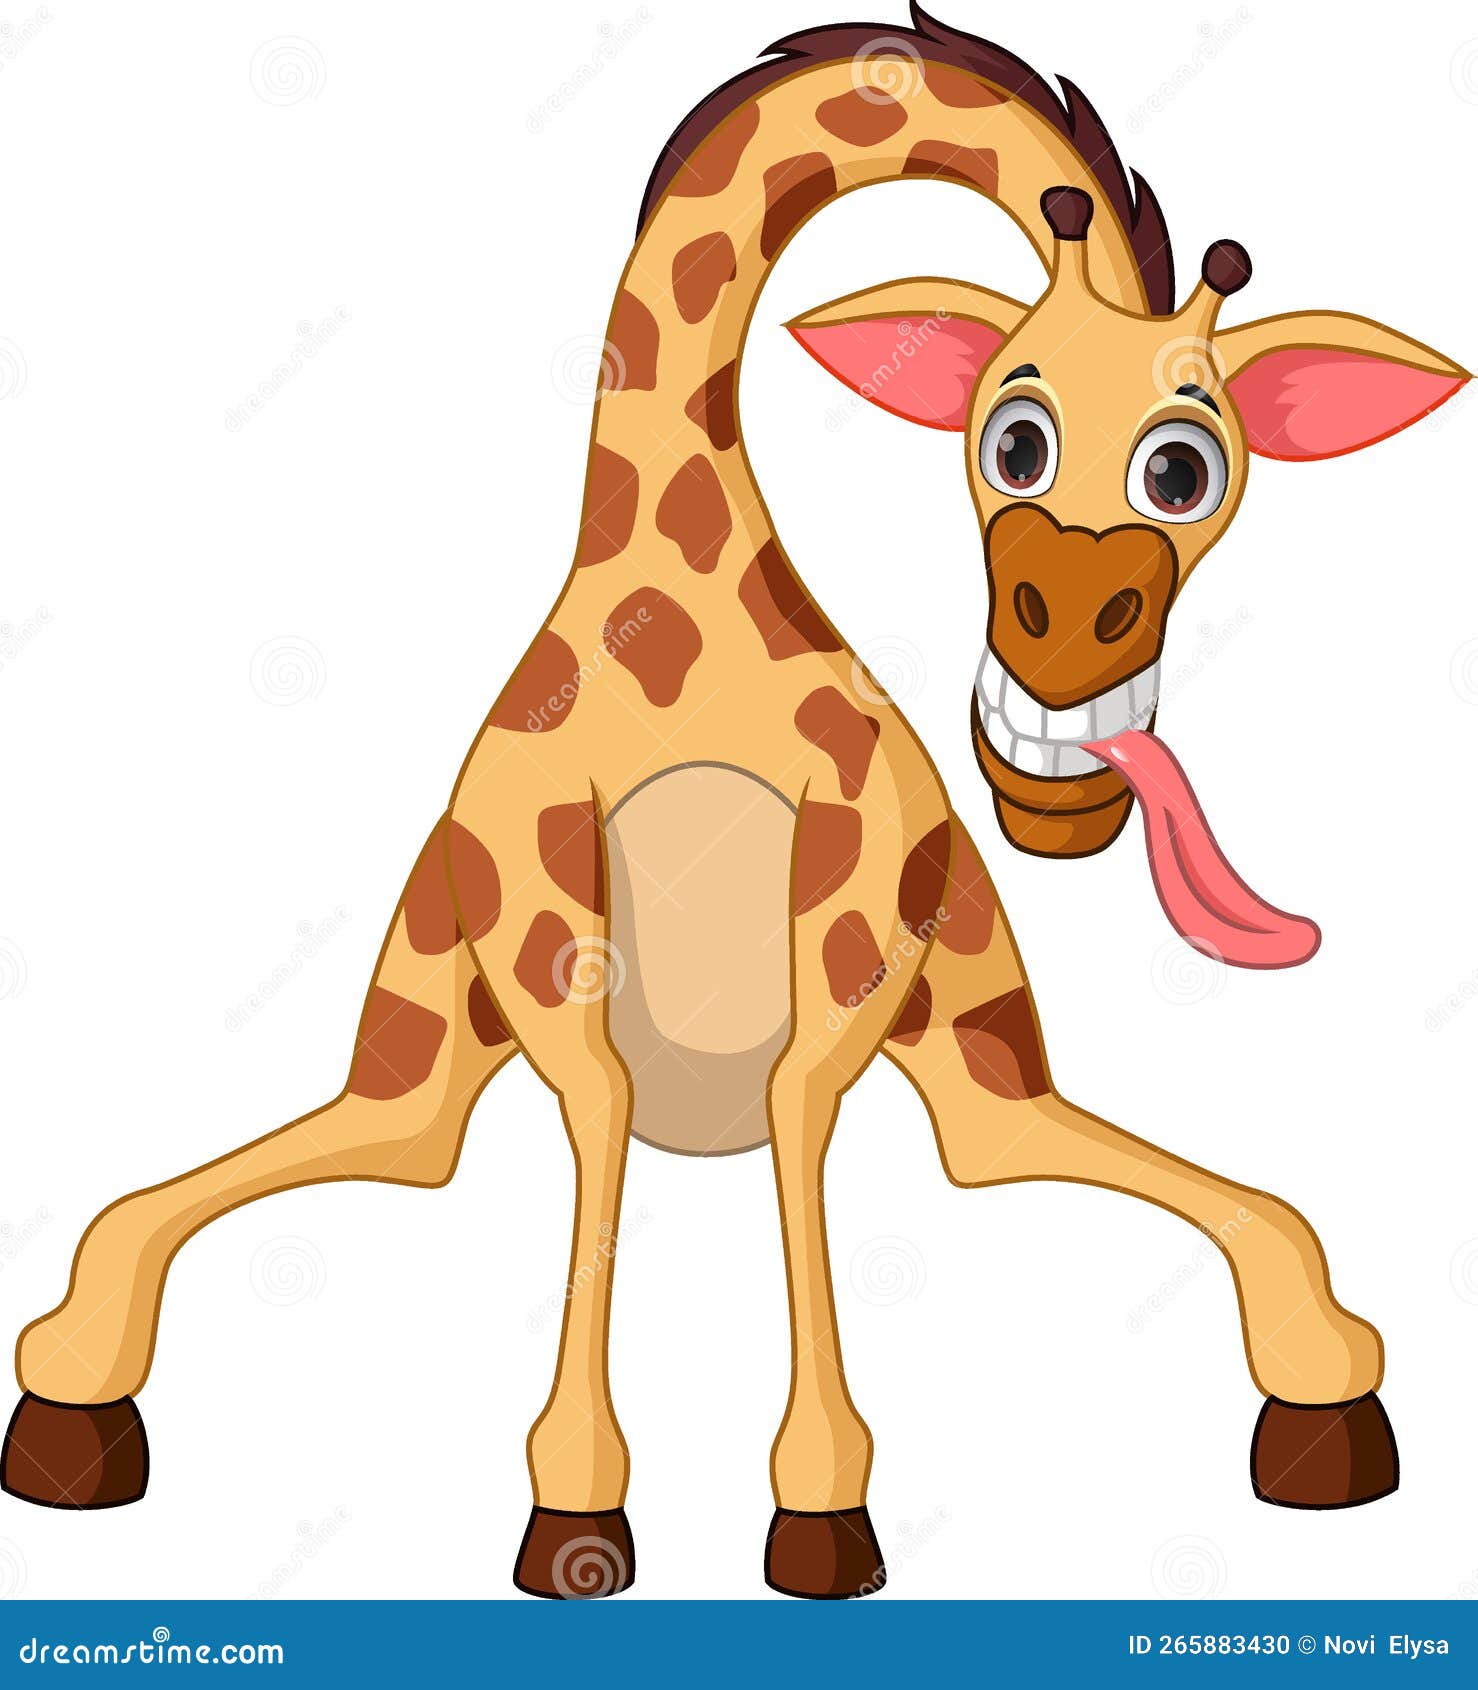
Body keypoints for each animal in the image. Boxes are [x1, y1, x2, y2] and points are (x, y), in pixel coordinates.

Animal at [2, 7, 1466, 1600]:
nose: (1064, 655)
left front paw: (812, 1509)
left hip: (957, 1034)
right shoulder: (547, 936)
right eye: (1008, 436)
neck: (680, 618)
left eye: (1191, 472)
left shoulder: (864, 952)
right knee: (366, 1146)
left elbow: (806, 1110)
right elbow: (604, 1111)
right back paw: (72, 1382)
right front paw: (585, 1511)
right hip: (429, 1025)